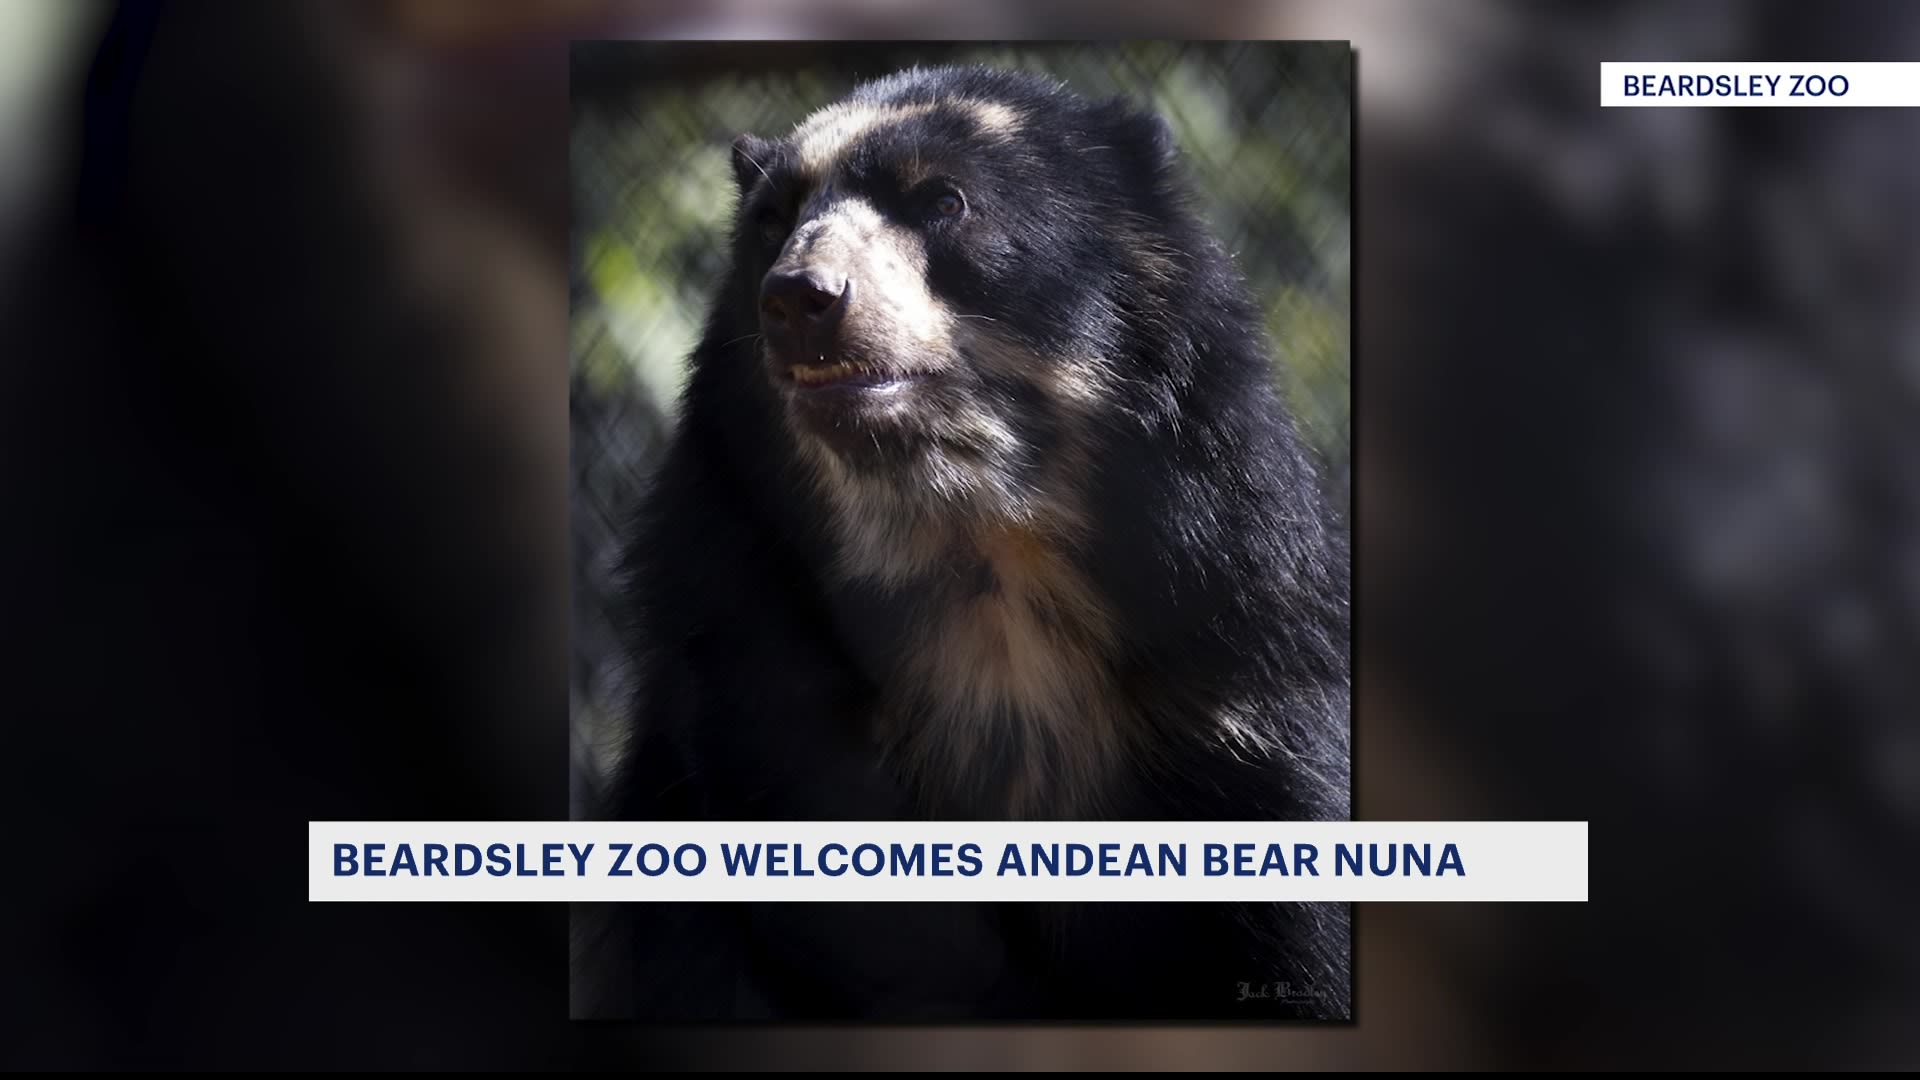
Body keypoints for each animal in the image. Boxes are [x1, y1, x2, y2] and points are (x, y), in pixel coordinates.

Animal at [573, 63, 1352, 1023]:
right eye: (772, 222)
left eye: (943, 200)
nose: (798, 298)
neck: (974, 552)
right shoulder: (740, 716)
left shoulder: (1242, 710)